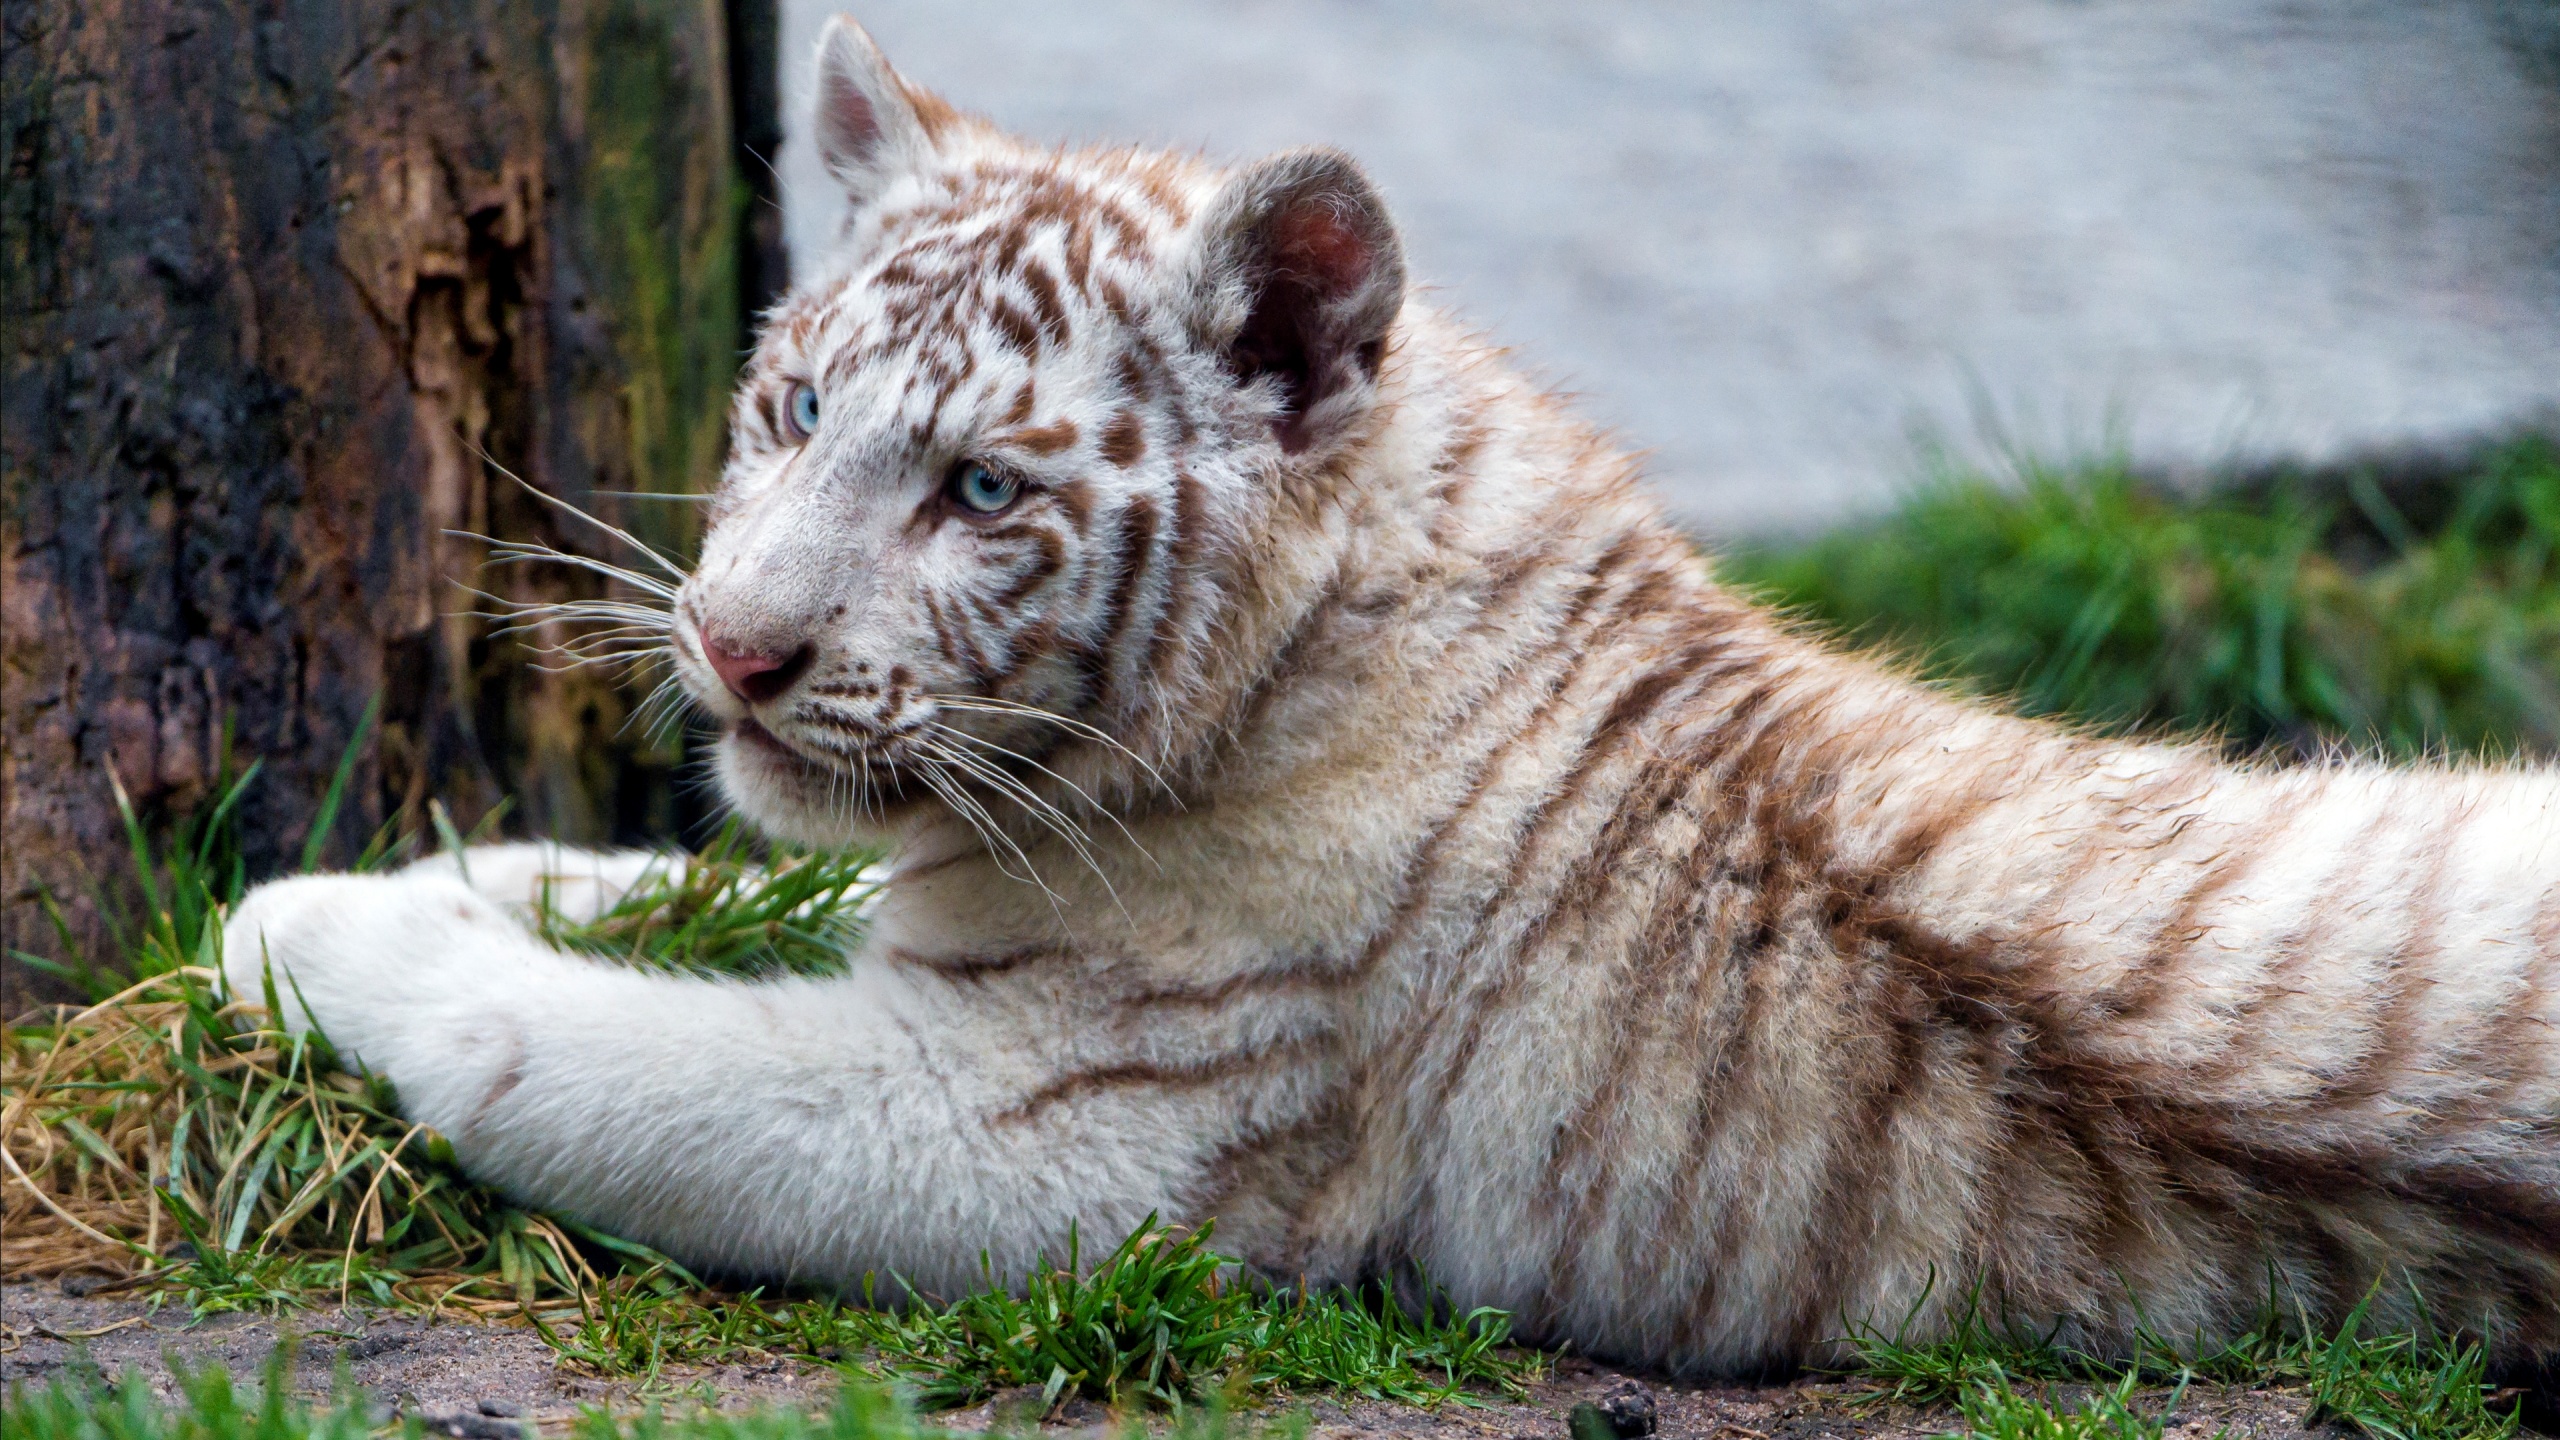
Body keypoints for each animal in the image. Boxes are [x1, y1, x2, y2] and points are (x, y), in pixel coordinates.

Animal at [222, 15, 2559, 1402]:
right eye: (794, 408)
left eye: (982, 492)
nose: (731, 648)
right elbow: (681, 891)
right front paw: (368, 886)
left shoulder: (1040, 1129)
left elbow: (581, 1054)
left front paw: (332, 932)